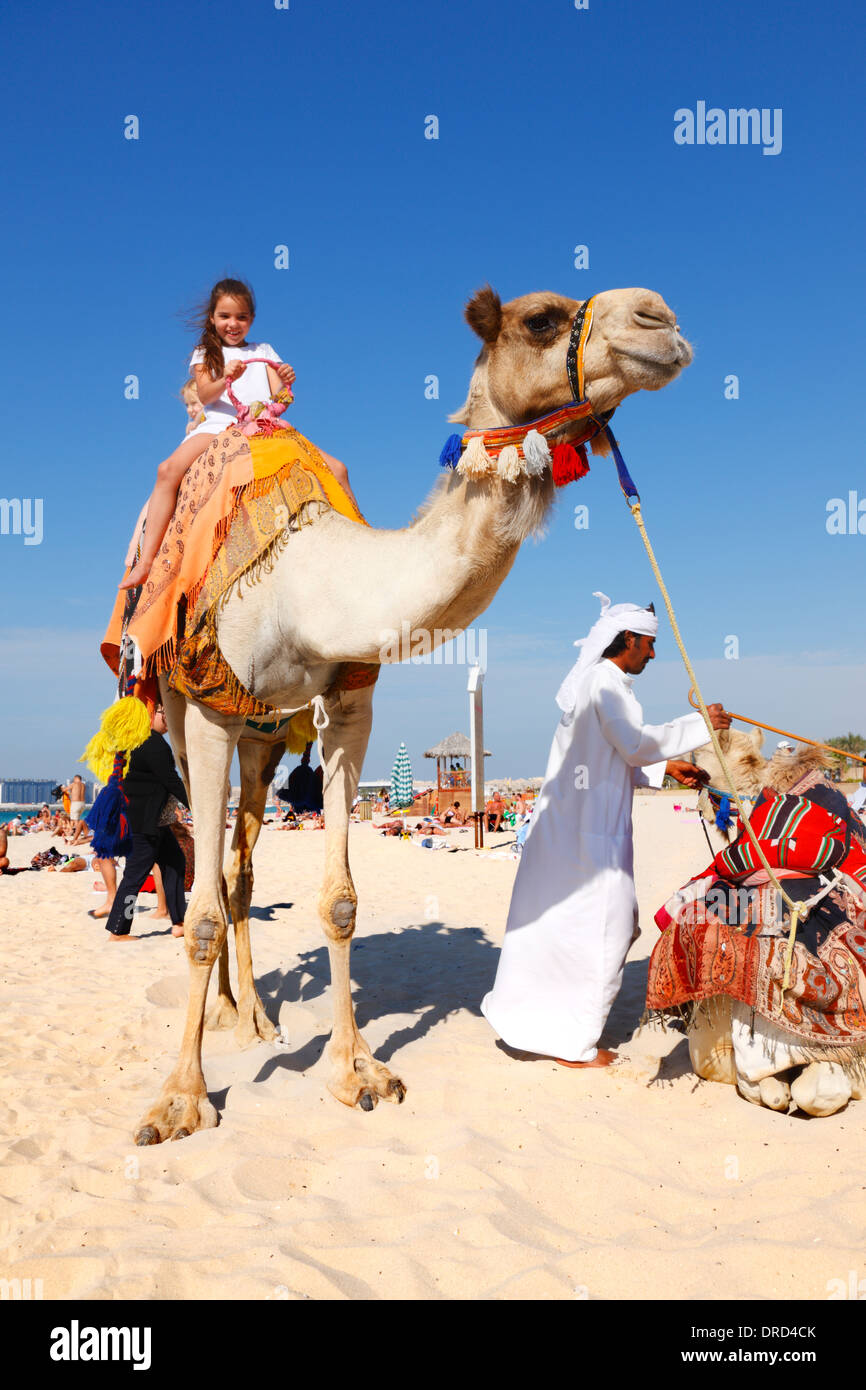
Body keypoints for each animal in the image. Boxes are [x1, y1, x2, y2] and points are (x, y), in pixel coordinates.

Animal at [134, 284, 694, 1144]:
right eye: (540, 318)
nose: (659, 318)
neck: (302, 585)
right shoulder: (208, 708)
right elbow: (195, 918)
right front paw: (180, 1100)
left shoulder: (346, 707)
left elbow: (338, 901)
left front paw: (354, 1071)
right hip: (186, 710)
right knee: (210, 876)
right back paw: (228, 1021)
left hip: (266, 739)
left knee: (237, 872)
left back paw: (251, 1015)